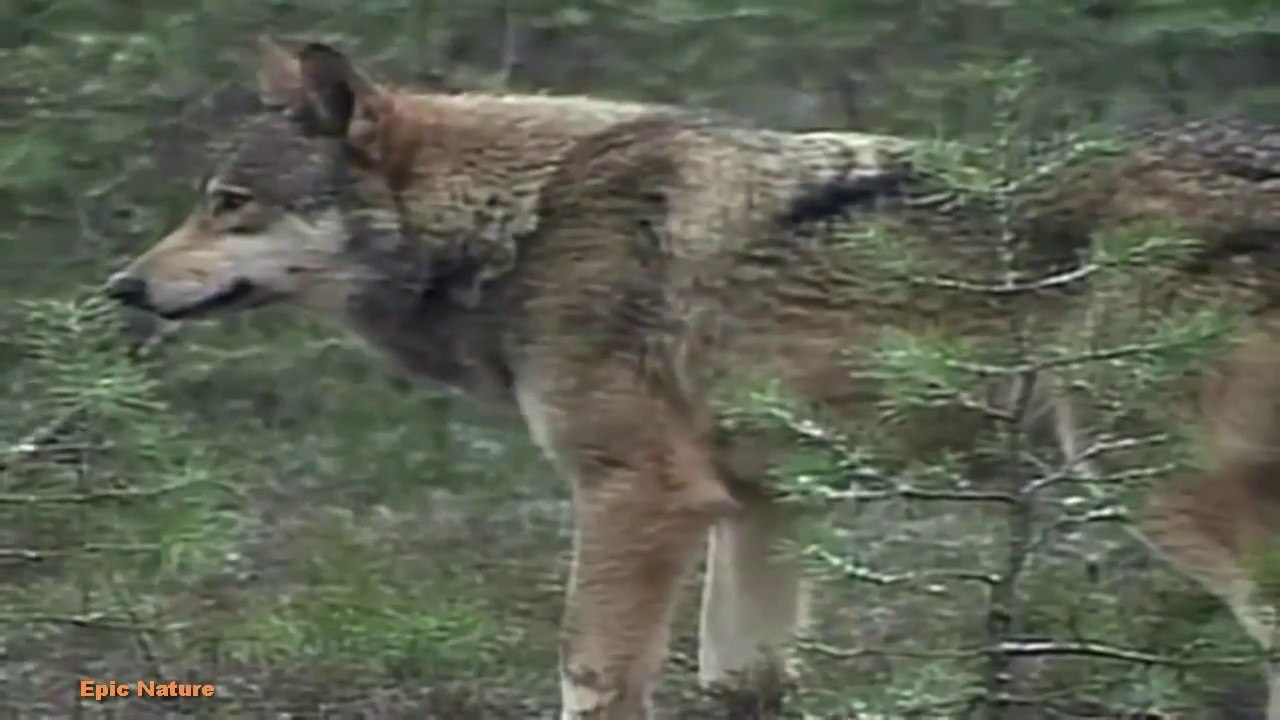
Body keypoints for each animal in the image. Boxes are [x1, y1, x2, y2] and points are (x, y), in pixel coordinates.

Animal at [102, 38, 1280, 718]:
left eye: (231, 204)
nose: (121, 286)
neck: (523, 224)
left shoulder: (639, 495)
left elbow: (589, 680)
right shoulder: (763, 507)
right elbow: (738, 685)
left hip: (1149, 485)